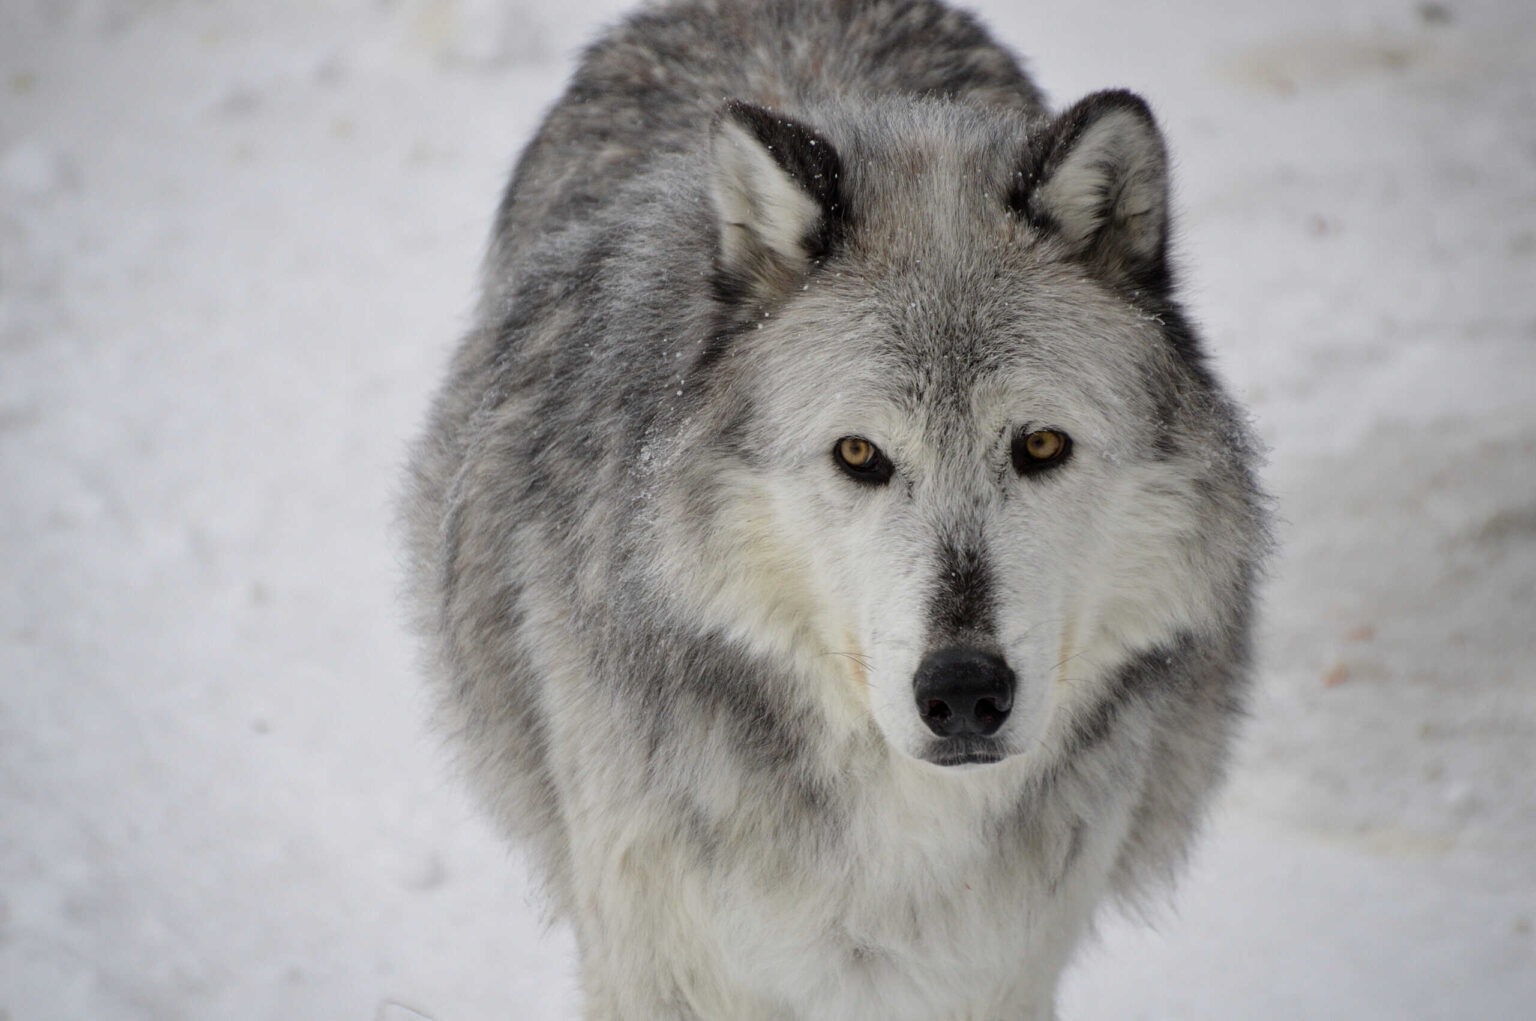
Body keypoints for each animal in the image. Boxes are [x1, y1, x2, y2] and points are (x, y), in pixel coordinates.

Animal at [401, 1, 1269, 1017]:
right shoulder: (663, 966)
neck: (904, 839)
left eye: (1041, 446)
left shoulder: (995, 973)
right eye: (860, 455)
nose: (964, 692)